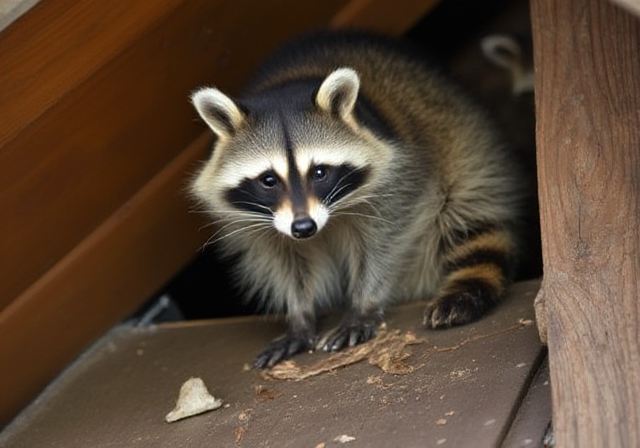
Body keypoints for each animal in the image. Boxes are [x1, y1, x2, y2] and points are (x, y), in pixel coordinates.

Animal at [190, 30, 527, 369]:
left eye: (320, 172)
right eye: (269, 180)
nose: (303, 228)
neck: (287, 83)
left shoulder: (400, 182)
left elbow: (384, 243)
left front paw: (363, 305)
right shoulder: (258, 223)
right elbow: (288, 263)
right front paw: (300, 316)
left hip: (466, 152)